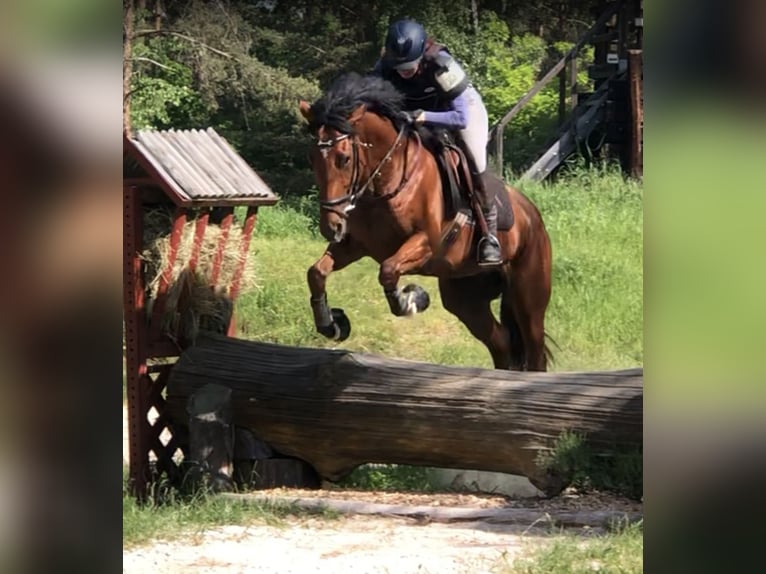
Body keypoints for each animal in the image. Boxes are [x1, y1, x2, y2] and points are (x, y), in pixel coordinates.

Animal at [299, 73, 553, 371]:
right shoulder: (356, 246)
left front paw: (413, 299)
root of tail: (532, 214)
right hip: (465, 296)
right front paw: (331, 324)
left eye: (344, 158)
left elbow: (388, 270)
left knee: (533, 346)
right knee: (501, 342)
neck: (388, 182)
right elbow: (316, 272)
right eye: (311, 158)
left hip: (528, 293)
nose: (330, 228)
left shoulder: (427, 243)